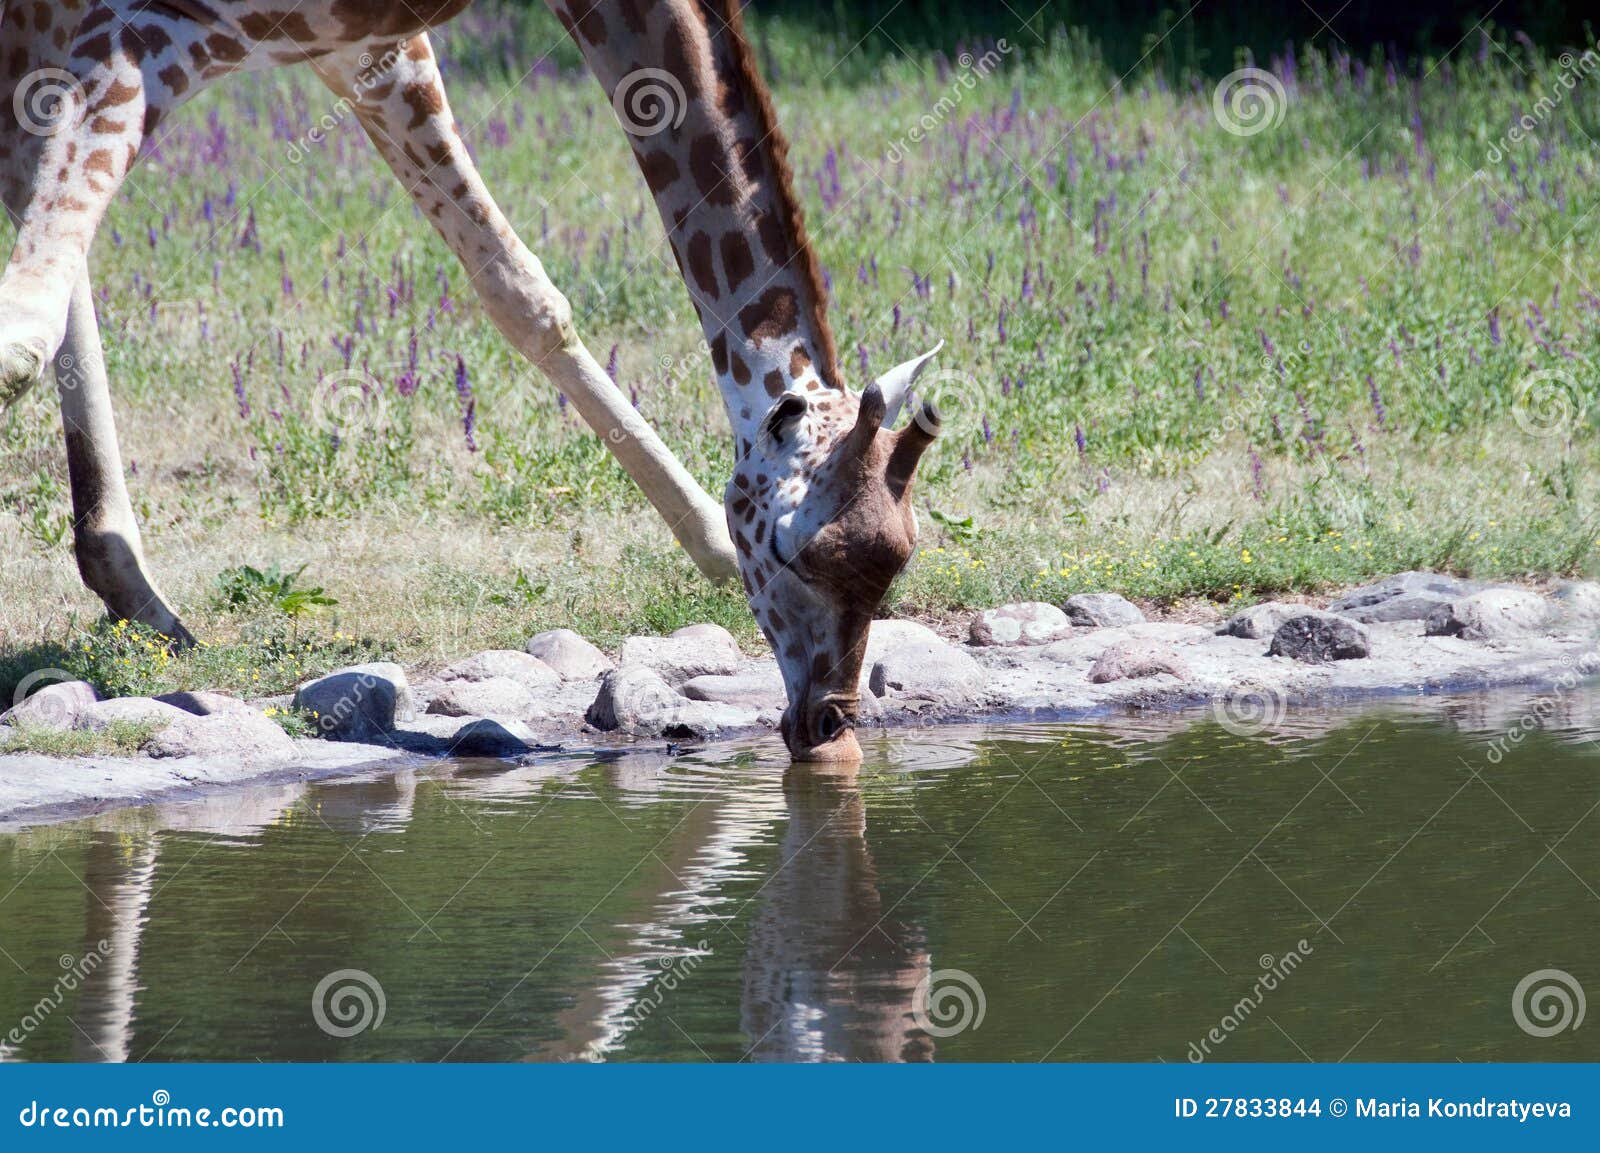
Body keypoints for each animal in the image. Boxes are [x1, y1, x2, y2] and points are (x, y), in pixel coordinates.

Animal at [0, 0, 944, 762]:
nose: (829, 722)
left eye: (899, 557)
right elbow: (23, 325)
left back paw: (135, 590)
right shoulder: (142, 28)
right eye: (793, 552)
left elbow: (518, 287)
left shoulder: (370, 45)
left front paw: (707, 538)